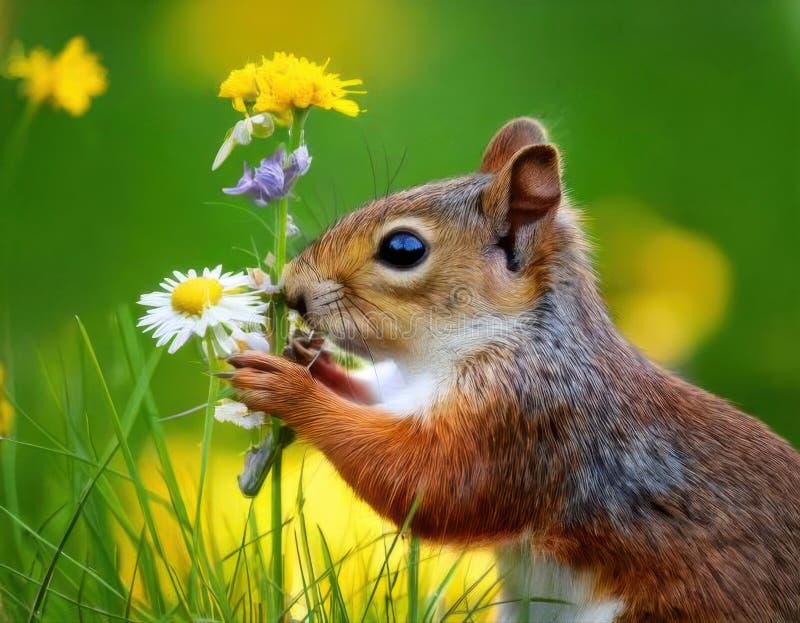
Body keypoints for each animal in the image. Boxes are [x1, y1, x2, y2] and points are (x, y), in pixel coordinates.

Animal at [228, 118, 800, 622]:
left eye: (404, 248)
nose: (293, 291)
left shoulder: (526, 418)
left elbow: (430, 484)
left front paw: (289, 388)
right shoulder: (412, 394)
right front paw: (307, 360)